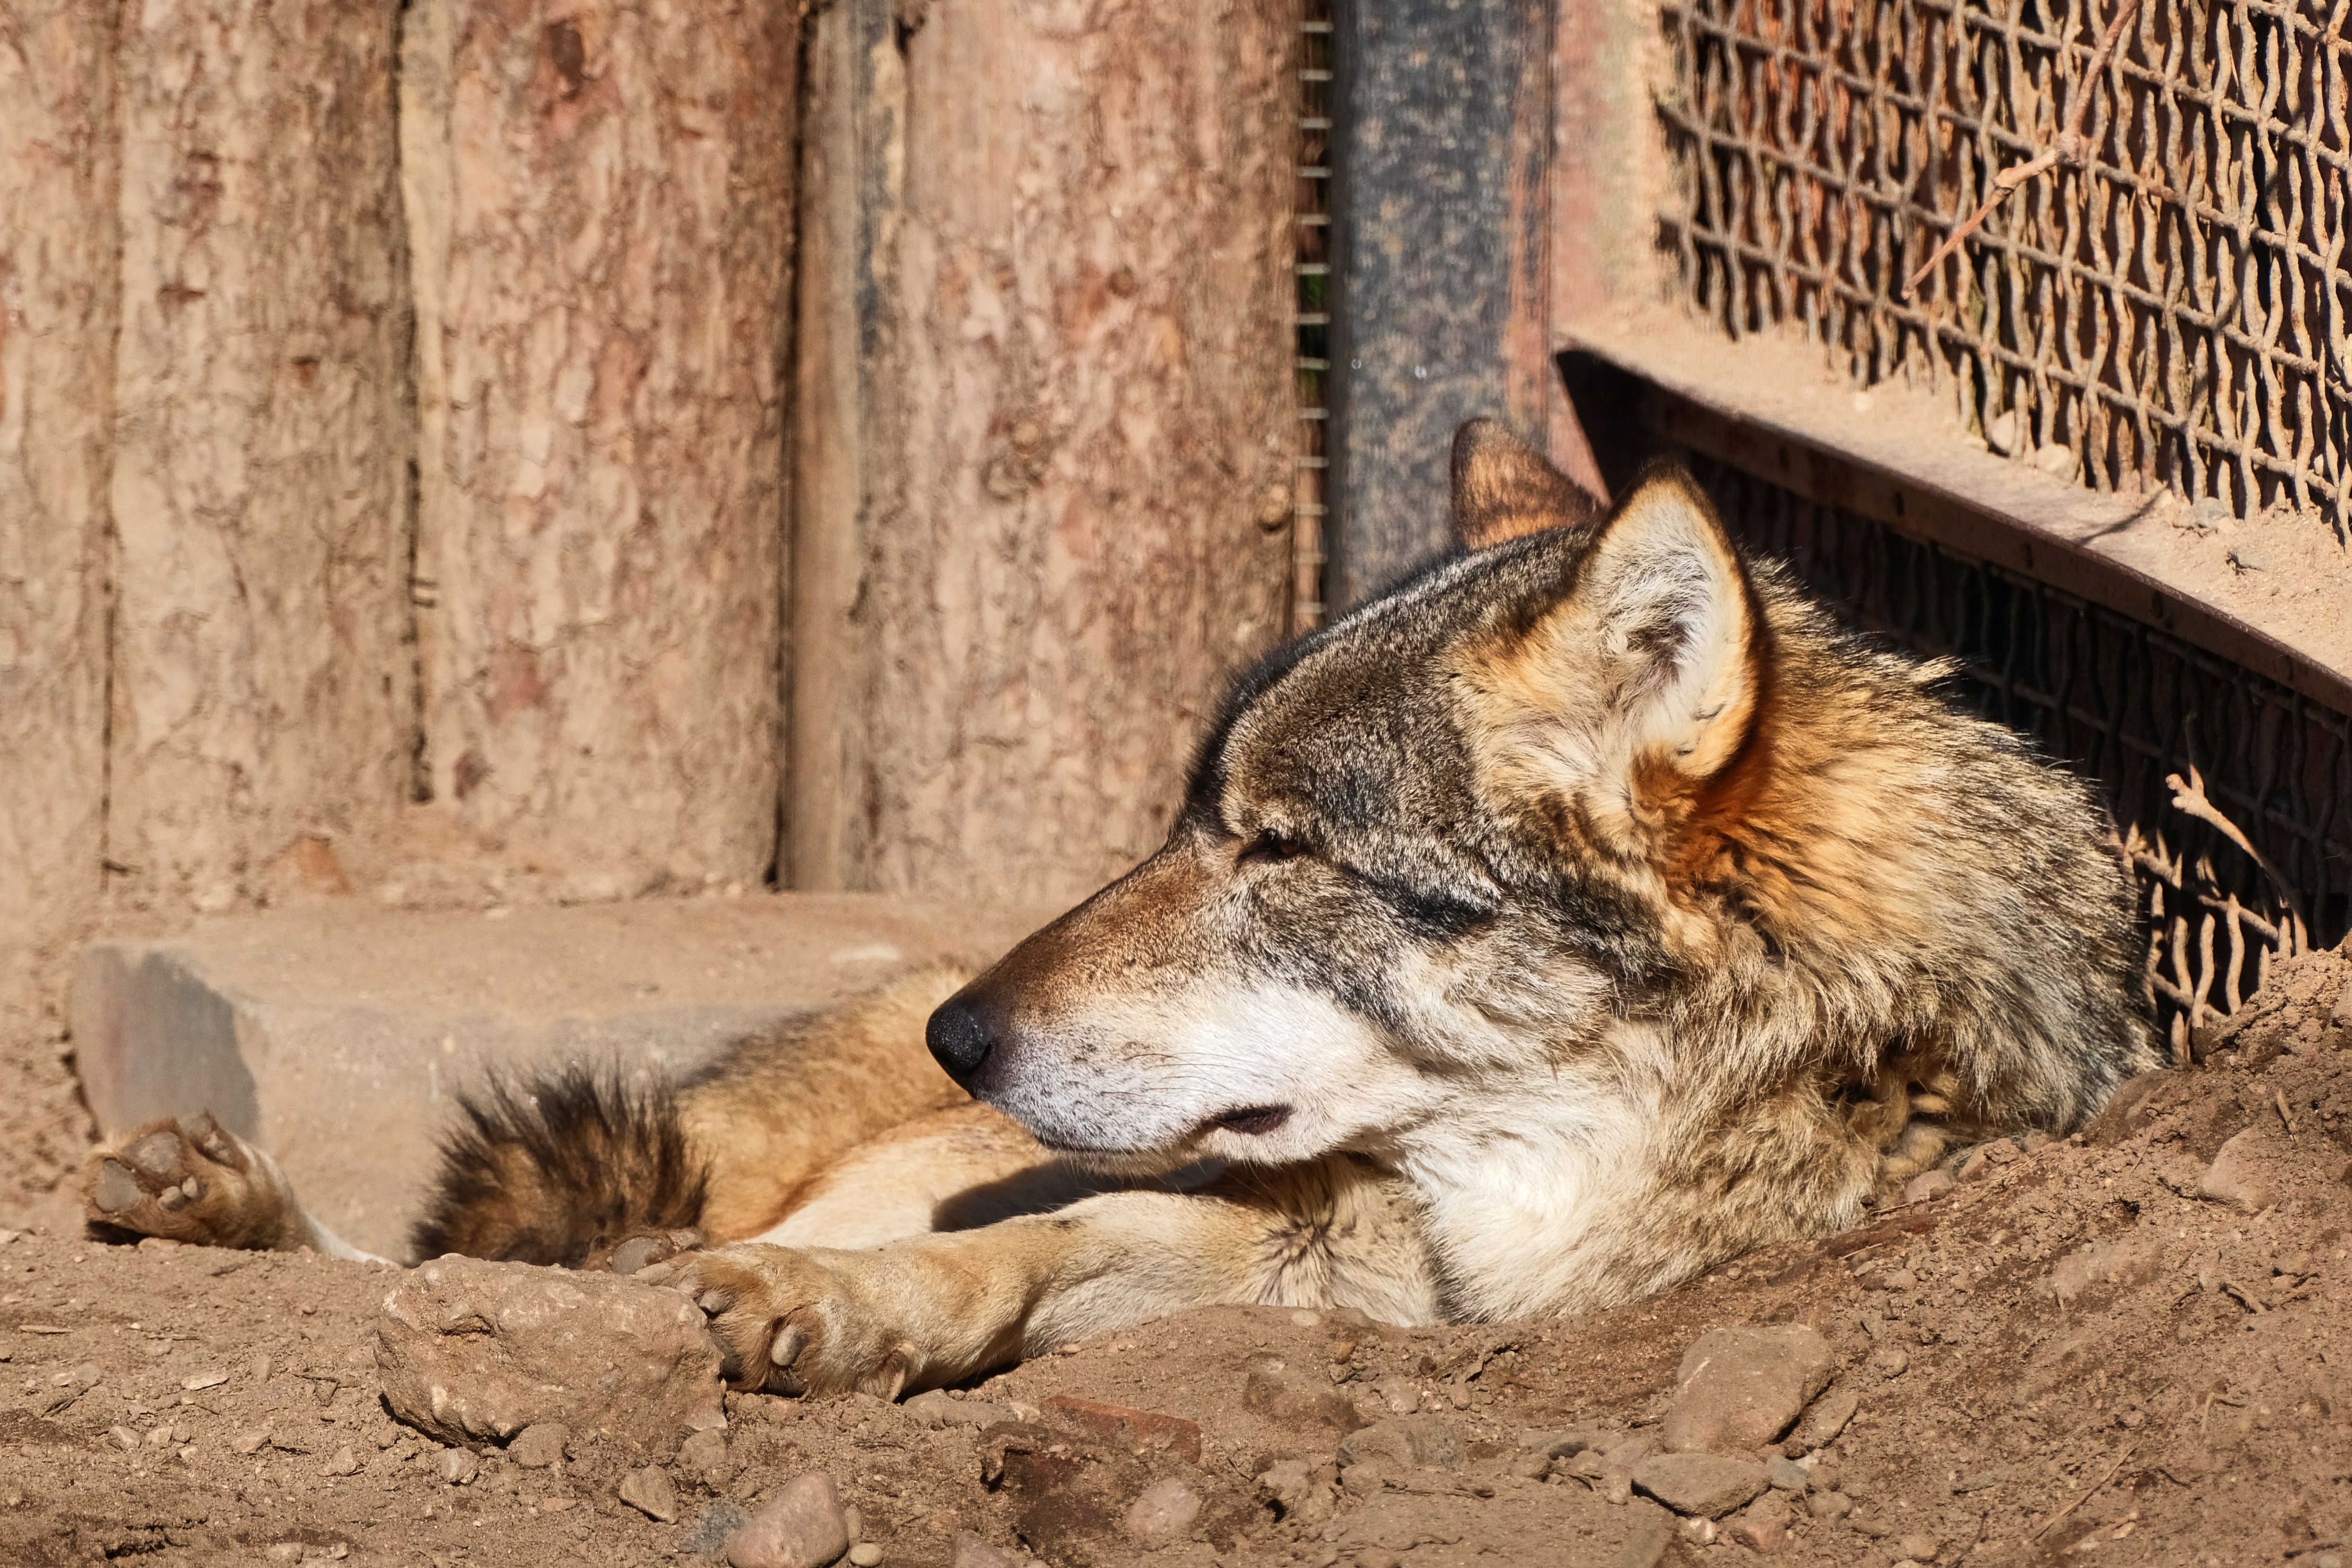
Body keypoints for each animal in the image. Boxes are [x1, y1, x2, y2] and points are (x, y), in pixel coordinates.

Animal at [85, 422, 2157, 1400]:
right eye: (1186, 817)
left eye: (1280, 848)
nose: (964, 1037)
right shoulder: (1260, 1238)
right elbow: (1031, 1241)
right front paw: (847, 1314)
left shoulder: (1328, 1288)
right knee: (476, 1261)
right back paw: (218, 1206)